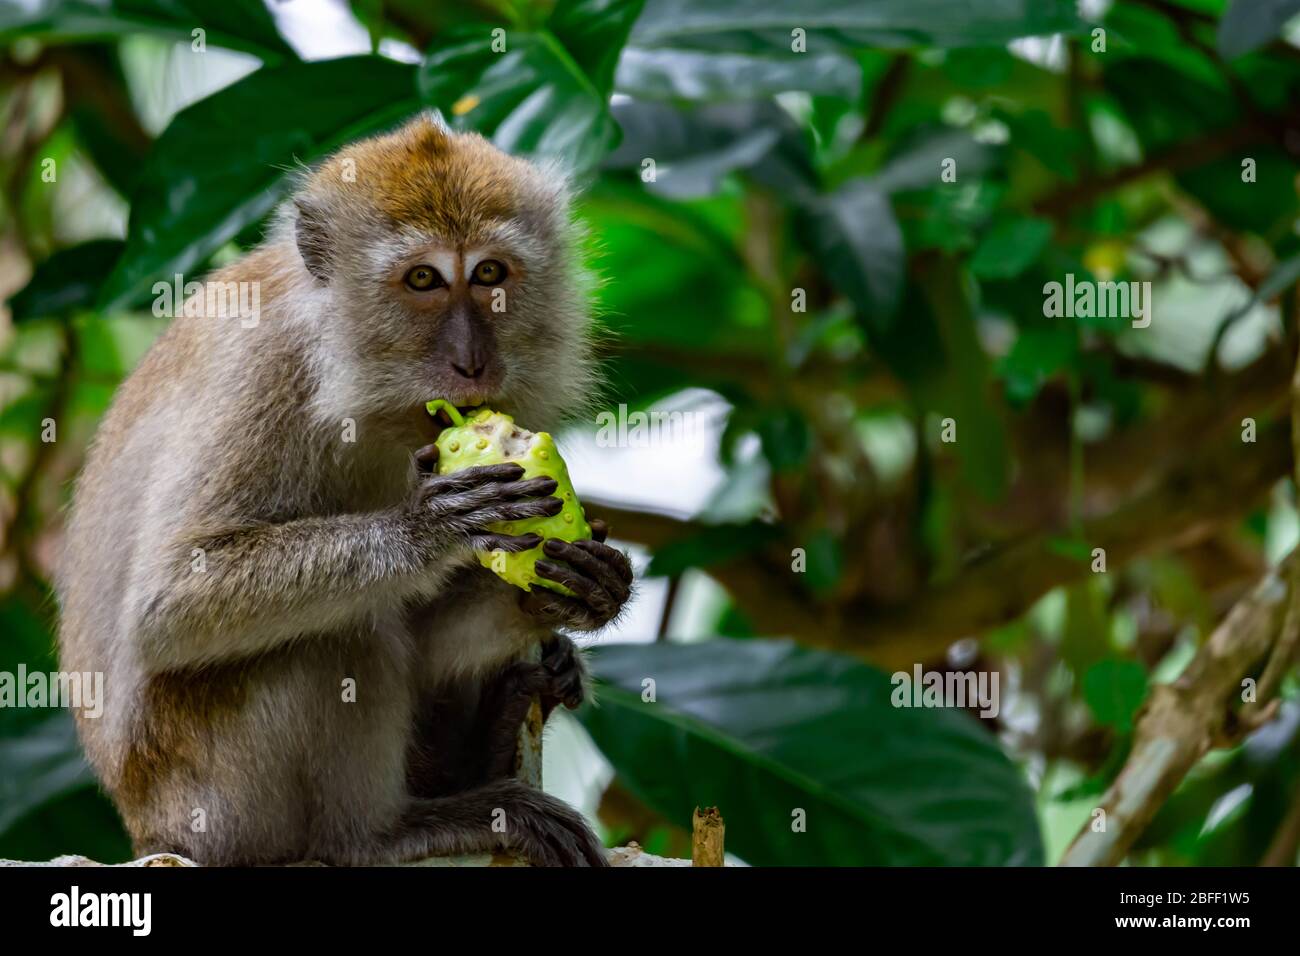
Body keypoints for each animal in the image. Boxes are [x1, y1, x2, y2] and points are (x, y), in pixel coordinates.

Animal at [55, 113, 634, 867]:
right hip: (211, 798)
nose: (472, 362)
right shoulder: (264, 372)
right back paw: (382, 832)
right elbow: (167, 602)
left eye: (489, 274)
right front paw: (429, 530)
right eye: (423, 279)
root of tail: (147, 829)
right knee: (341, 631)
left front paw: (575, 588)